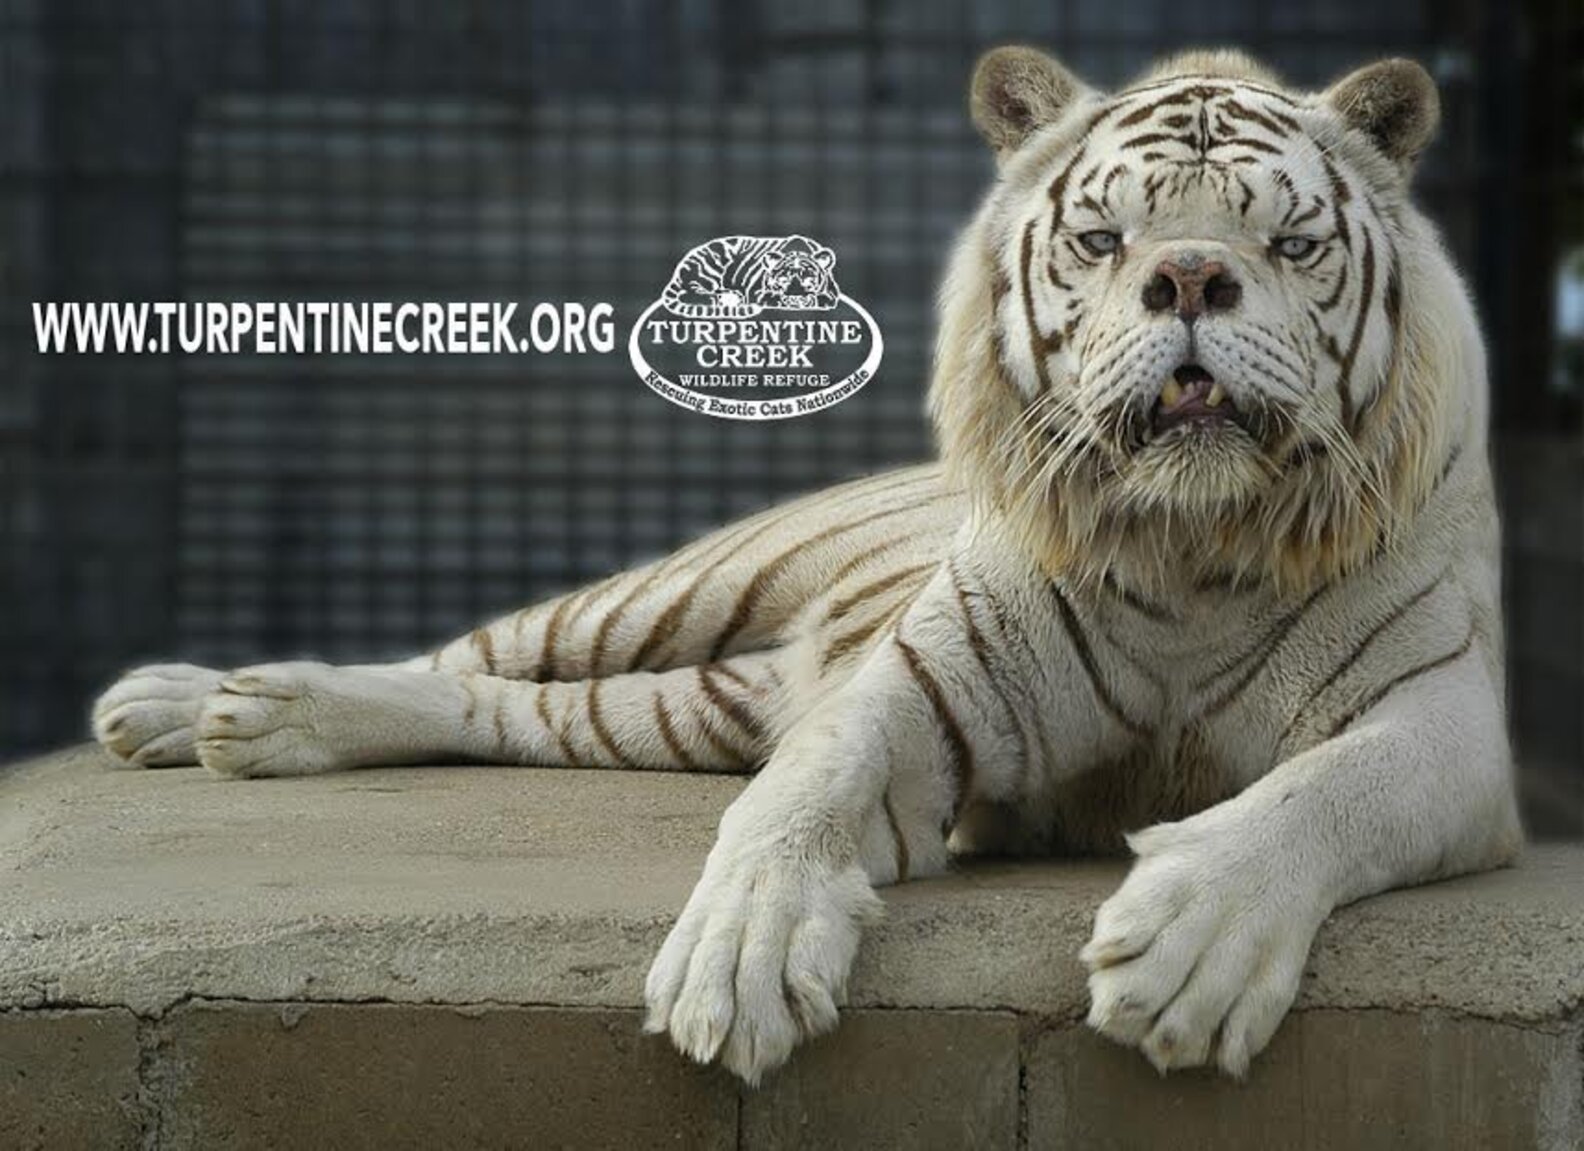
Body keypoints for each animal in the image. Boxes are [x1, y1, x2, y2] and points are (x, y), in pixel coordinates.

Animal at [91, 46, 1521, 1086]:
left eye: (1290, 245)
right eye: (1104, 241)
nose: (1188, 277)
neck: (1191, 546)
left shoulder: (1444, 722)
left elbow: (1325, 792)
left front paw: (1190, 943)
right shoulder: (923, 685)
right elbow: (798, 795)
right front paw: (738, 960)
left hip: (689, 705)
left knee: (508, 709)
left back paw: (235, 720)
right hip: (672, 594)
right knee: (467, 655)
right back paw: (203, 703)